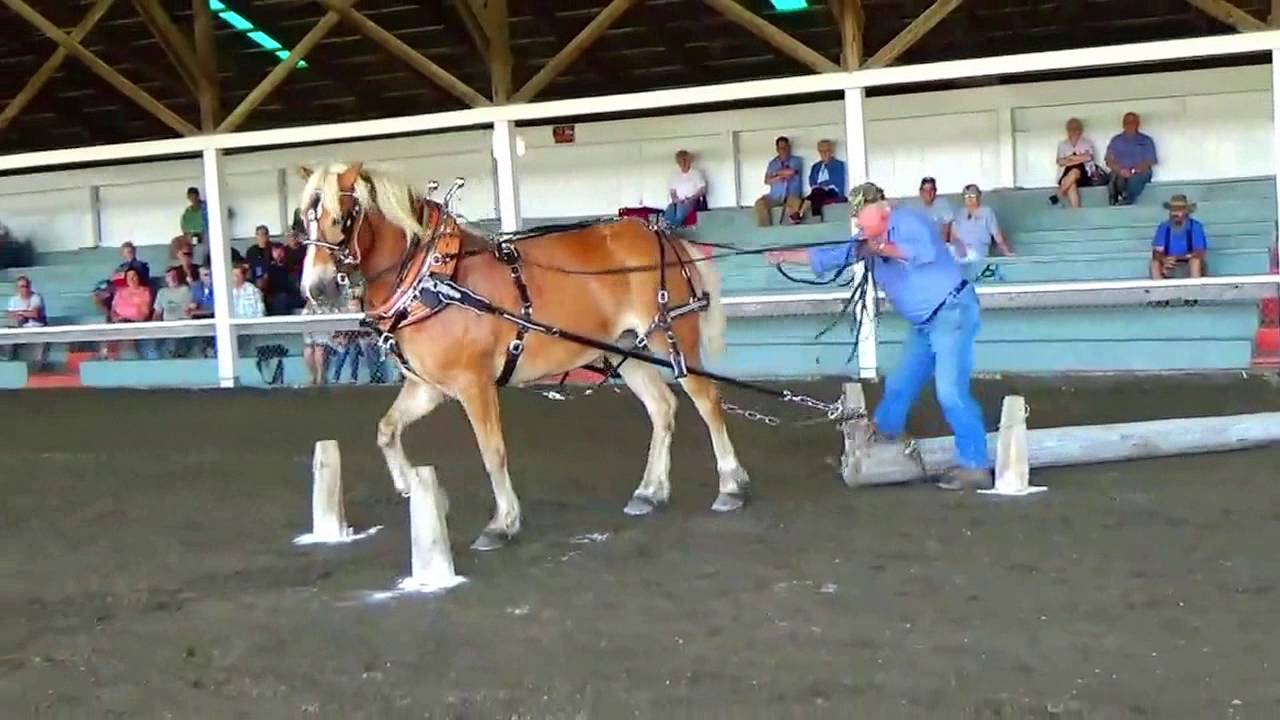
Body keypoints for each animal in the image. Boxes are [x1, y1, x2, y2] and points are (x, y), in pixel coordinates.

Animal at [297, 162, 752, 551]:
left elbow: (492, 451)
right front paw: (419, 489)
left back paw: (730, 485)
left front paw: (502, 523)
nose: (315, 289)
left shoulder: (473, 384)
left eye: (342, 218)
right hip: (632, 348)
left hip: (671, 339)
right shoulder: (428, 387)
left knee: (708, 402)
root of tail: (663, 235)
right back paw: (649, 491)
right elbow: (387, 430)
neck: (434, 279)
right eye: (303, 221)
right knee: (662, 409)